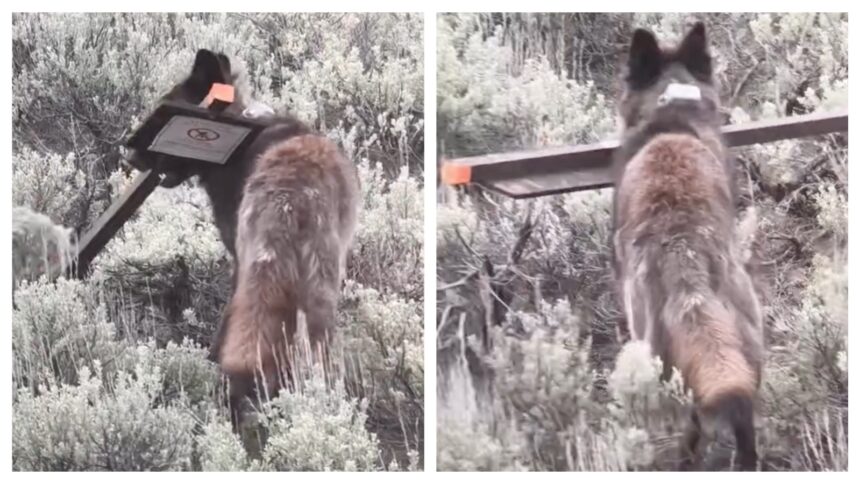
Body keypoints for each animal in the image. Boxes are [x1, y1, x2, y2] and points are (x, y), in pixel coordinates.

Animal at [611, 23, 764, 471]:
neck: (672, 108)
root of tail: (683, 252)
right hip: (746, 346)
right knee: (743, 418)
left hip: (655, 351)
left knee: (692, 423)